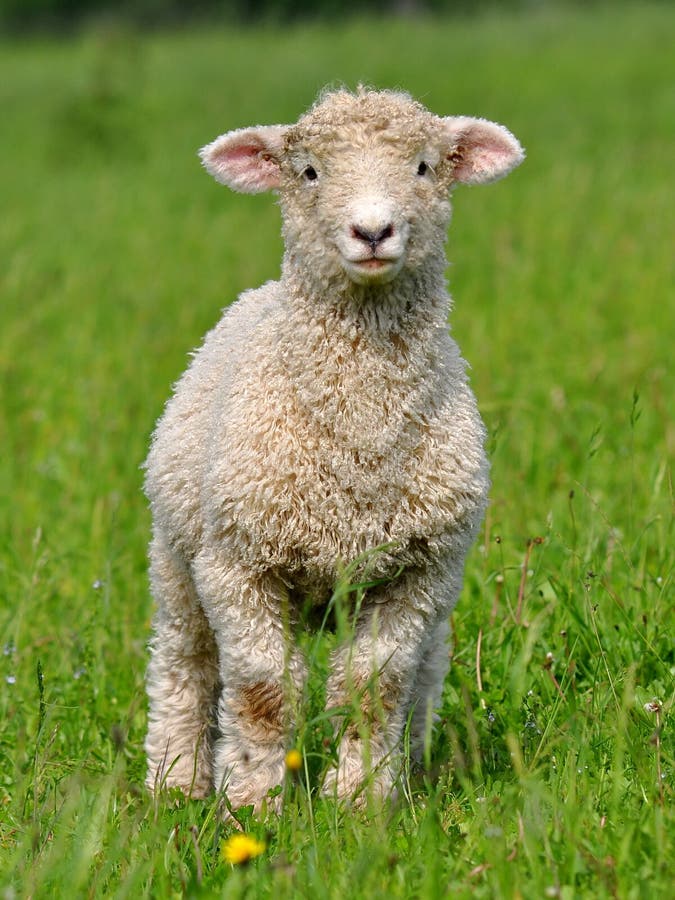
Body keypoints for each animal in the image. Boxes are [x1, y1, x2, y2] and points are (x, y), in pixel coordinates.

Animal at [144, 86, 524, 810]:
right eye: (309, 171)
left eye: (425, 166)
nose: (372, 232)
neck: (358, 440)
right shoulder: (239, 563)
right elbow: (264, 692)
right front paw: (252, 802)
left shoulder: (416, 572)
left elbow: (375, 691)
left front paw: (359, 801)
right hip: (177, 559)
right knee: (185, 664)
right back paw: (174, 781)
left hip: (438, 597)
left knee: (426, 671)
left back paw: (414, 764)